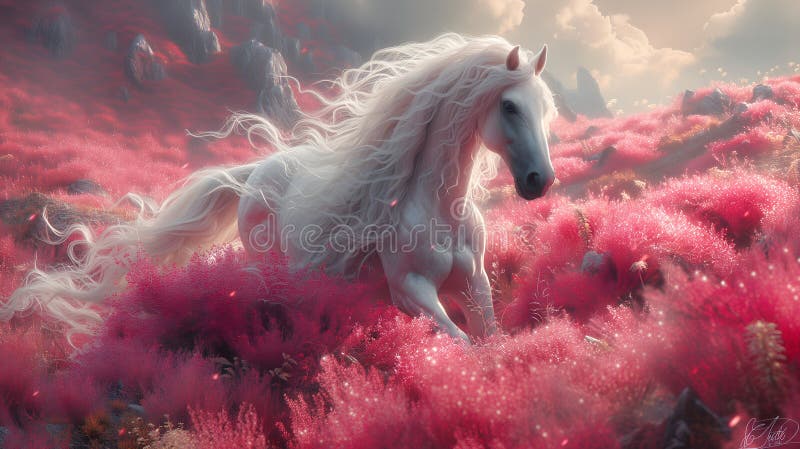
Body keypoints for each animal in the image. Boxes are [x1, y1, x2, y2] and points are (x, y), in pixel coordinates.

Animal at [0, 33, 556, 342]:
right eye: (509, 106)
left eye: (544, 107)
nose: (540, 181)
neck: (439, 208)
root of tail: (254, 174)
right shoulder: (411, 292)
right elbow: (461, 344)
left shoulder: (475, 286)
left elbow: (490, 342)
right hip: (271, 262)